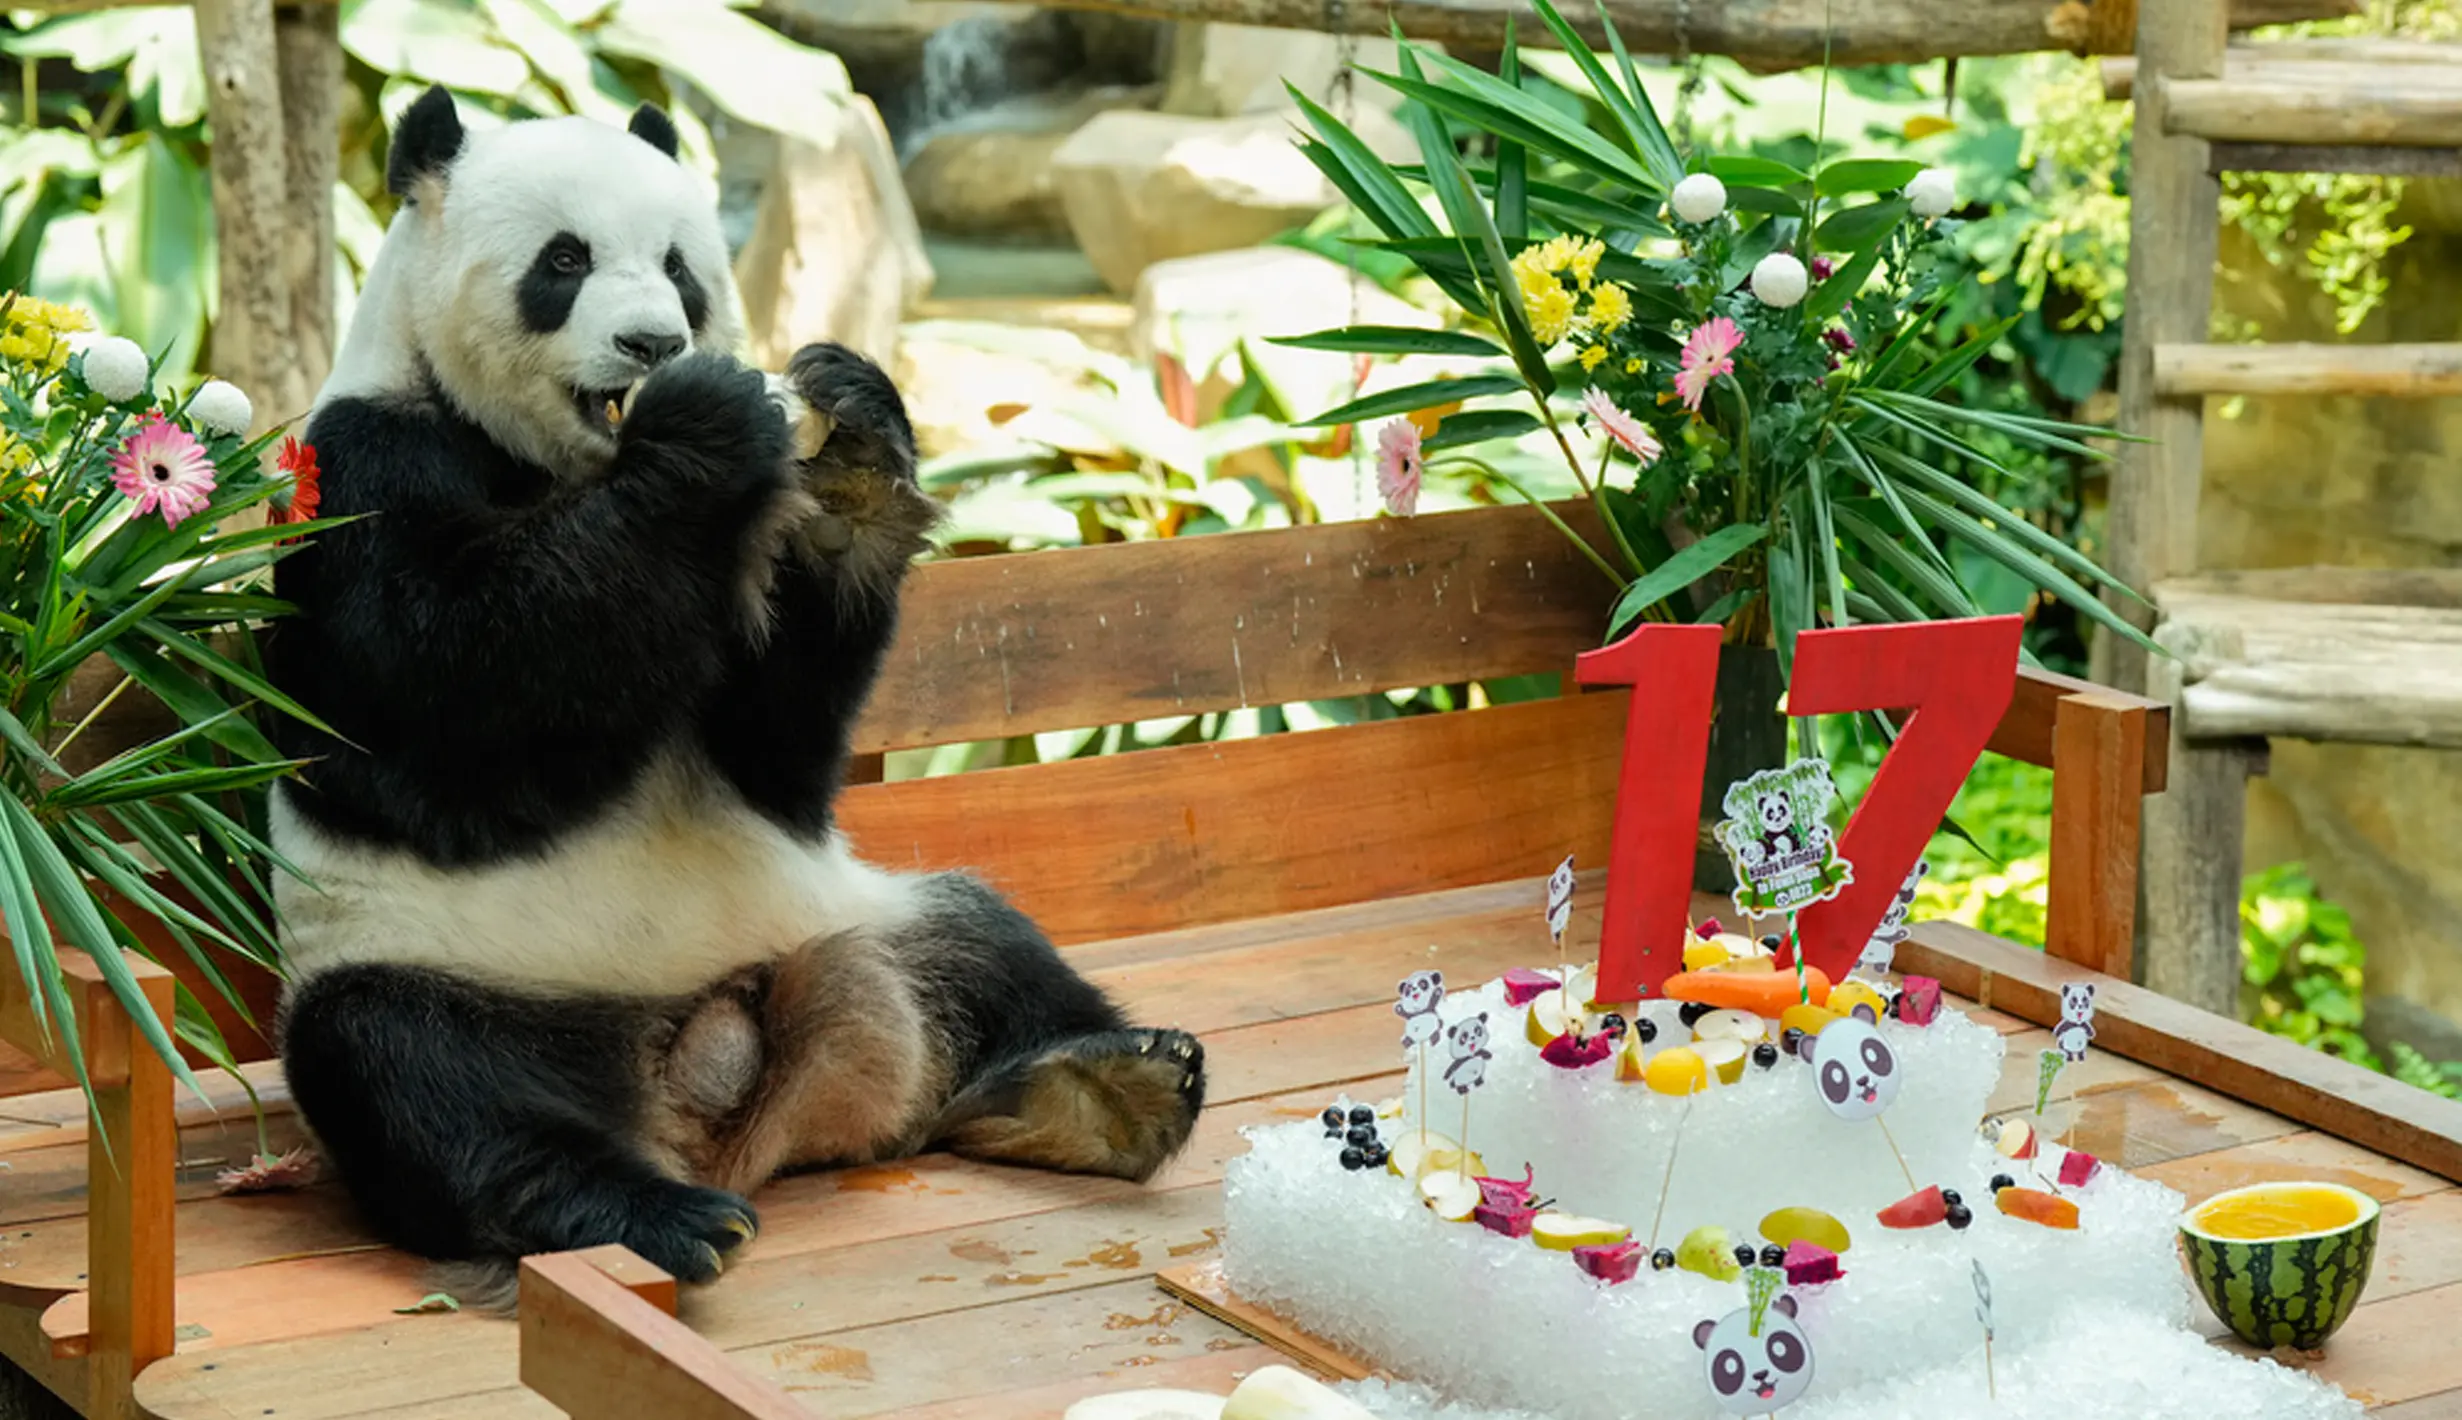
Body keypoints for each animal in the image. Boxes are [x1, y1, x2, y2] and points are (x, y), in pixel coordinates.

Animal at [263, 85, 1206, 1303]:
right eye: (563, 260)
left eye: (679, 268)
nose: (654, 342)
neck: (563, 467)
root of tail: (723, 1092)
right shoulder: (359, 472)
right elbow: (444, 712)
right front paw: (706, 423)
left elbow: (777, 750)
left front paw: (853, 450)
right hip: (450, 968)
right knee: (413, 1071)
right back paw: (654, 1217)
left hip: (854, 910)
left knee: (988, 941)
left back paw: (1105, 1087)